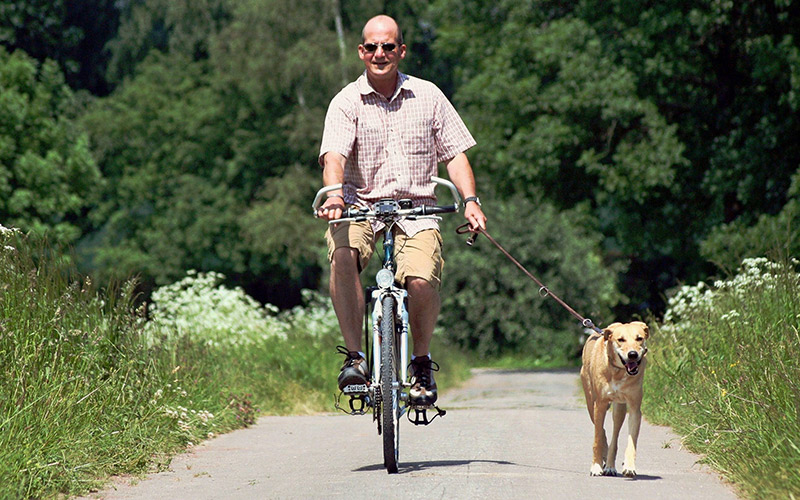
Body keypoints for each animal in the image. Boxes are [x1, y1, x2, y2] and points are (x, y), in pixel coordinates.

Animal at [580, 320, 648, 476]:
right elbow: (597, 438)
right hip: (590, 401)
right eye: (620, 339)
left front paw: (629, 466)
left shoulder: (634, 409)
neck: (618, 372)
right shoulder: (599, 404)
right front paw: (596, 466)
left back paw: (610, 465)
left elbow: (631, 441)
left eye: (639, 338)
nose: (633, 354)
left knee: (614, 434)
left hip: (619, 409)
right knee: (601, 430)